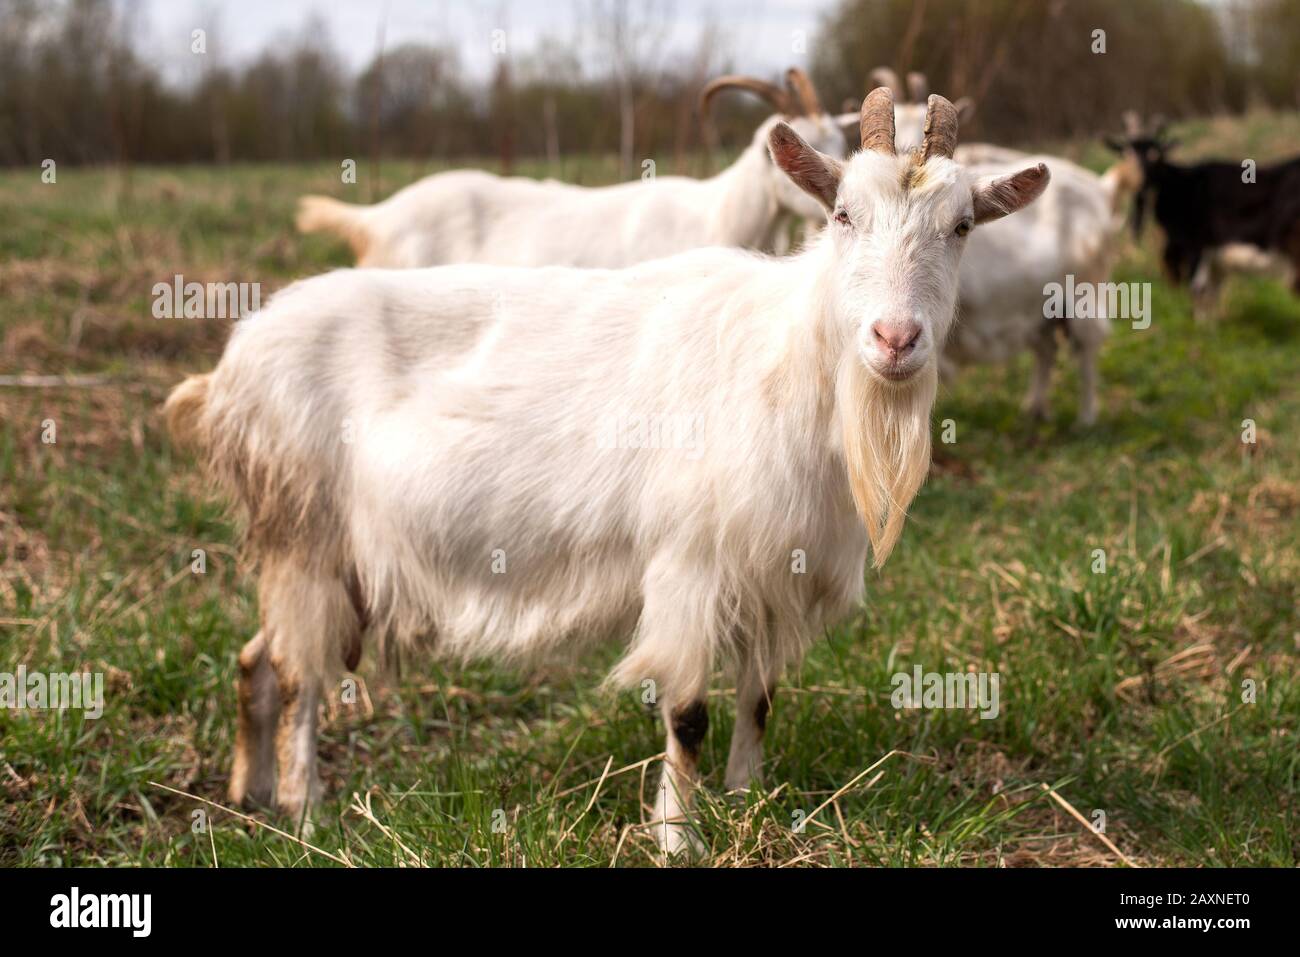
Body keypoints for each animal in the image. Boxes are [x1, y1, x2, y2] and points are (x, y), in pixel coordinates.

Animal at [165, 90, 1047, 856]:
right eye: (842, 215)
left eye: (962, 225)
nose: (896, 339)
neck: (787, 355)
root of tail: (227, 372)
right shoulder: (689, 564)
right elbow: (688, 713)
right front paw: (680, 838)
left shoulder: (775, 569)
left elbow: (759, 697)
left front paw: (748, 800)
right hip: (304, 531)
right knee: (298, 672)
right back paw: (306, 809)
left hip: (319, 556)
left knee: (258, 657)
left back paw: (247, 789)